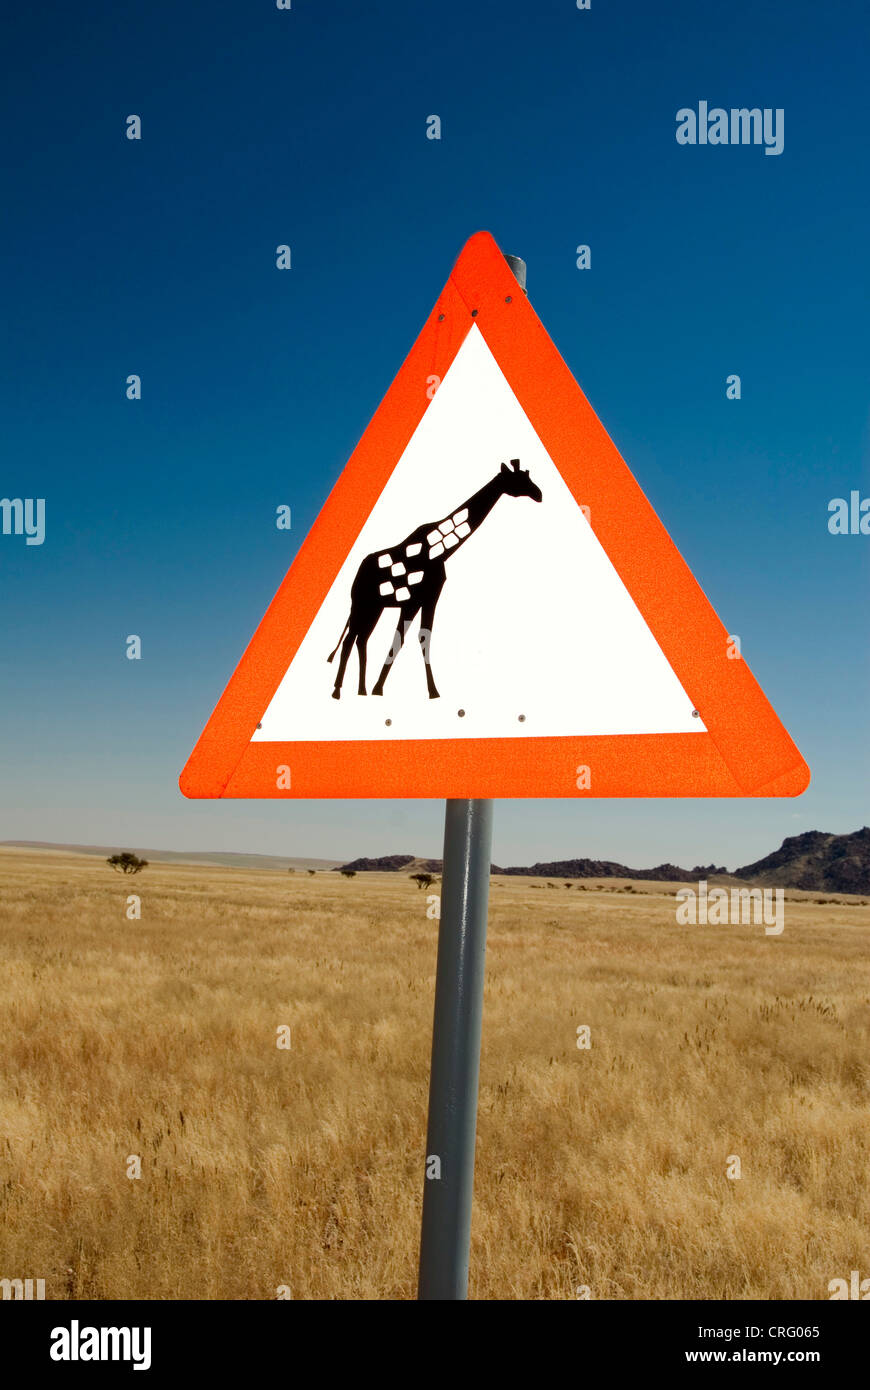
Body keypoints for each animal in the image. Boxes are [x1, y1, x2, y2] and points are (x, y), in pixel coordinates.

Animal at [327, 459, 543, 699]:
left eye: (528, 475)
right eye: (519, 479)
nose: (539, 494)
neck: (438, 551)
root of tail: (358, 571)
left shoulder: (424, 599)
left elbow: (415, 637)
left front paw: (379, 689)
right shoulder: (418, 599)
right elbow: (409, 638)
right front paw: (422, 691)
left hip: (375, 607)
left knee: (361, 639)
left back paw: (361, 691)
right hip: (361, 604)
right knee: (350, 640)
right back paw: (338, 690)